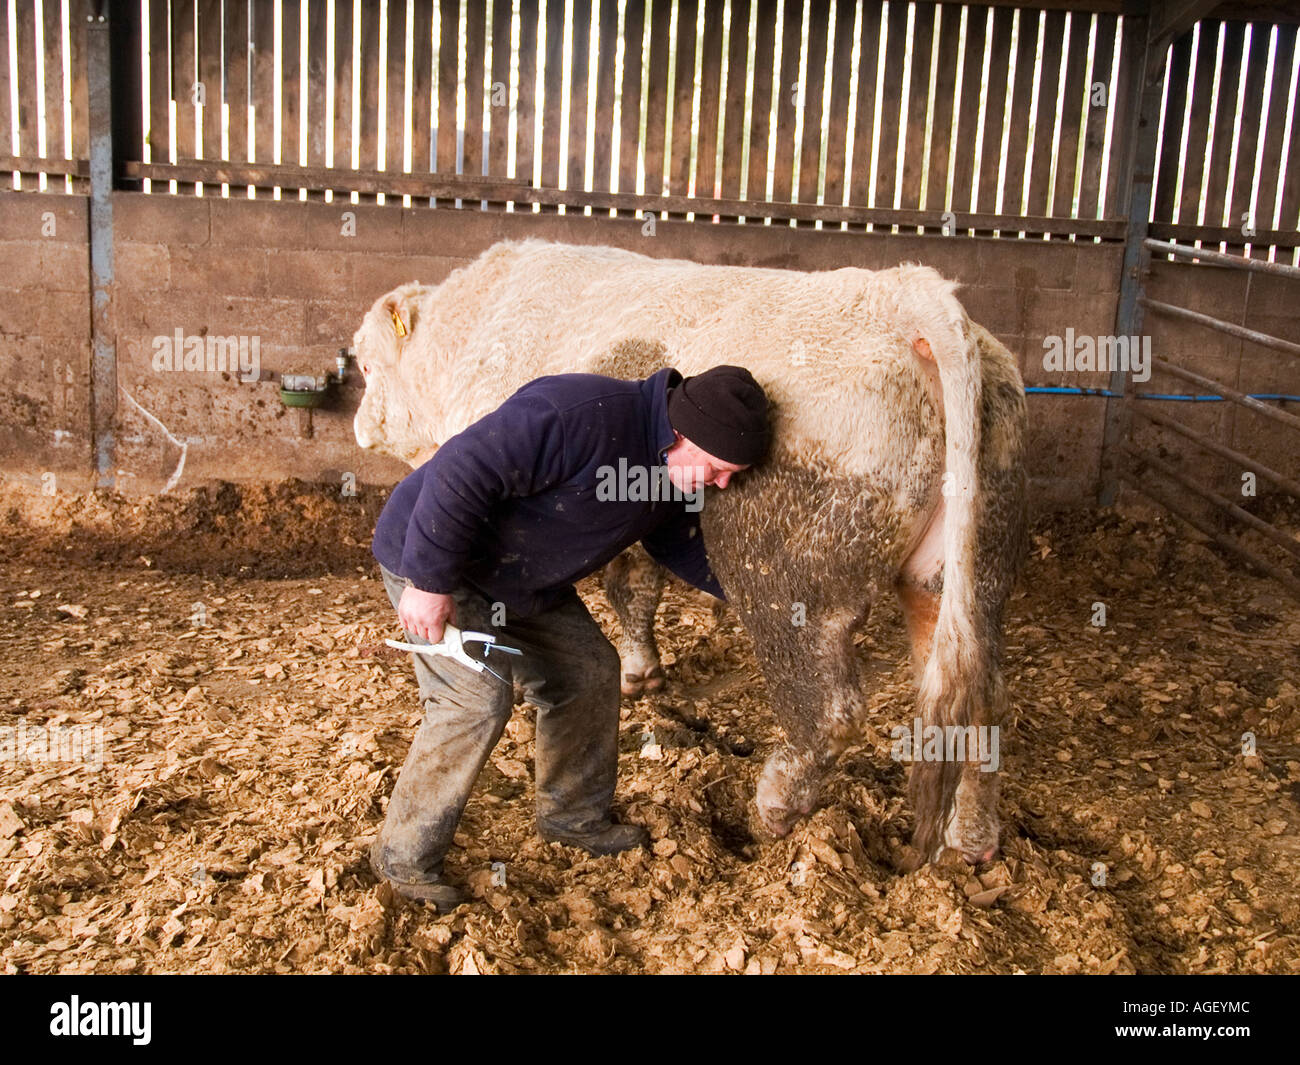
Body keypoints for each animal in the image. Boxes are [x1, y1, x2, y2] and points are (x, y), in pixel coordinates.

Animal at [351, 239, 1027, 866]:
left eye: (364, 363)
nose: (359, 425)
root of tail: (906, 294)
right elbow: (636, 586)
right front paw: (641, 673)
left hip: (787, 587)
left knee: (830, 711)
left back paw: (775, 805)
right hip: (959, 577)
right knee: (983, 697)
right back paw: (972, 839)